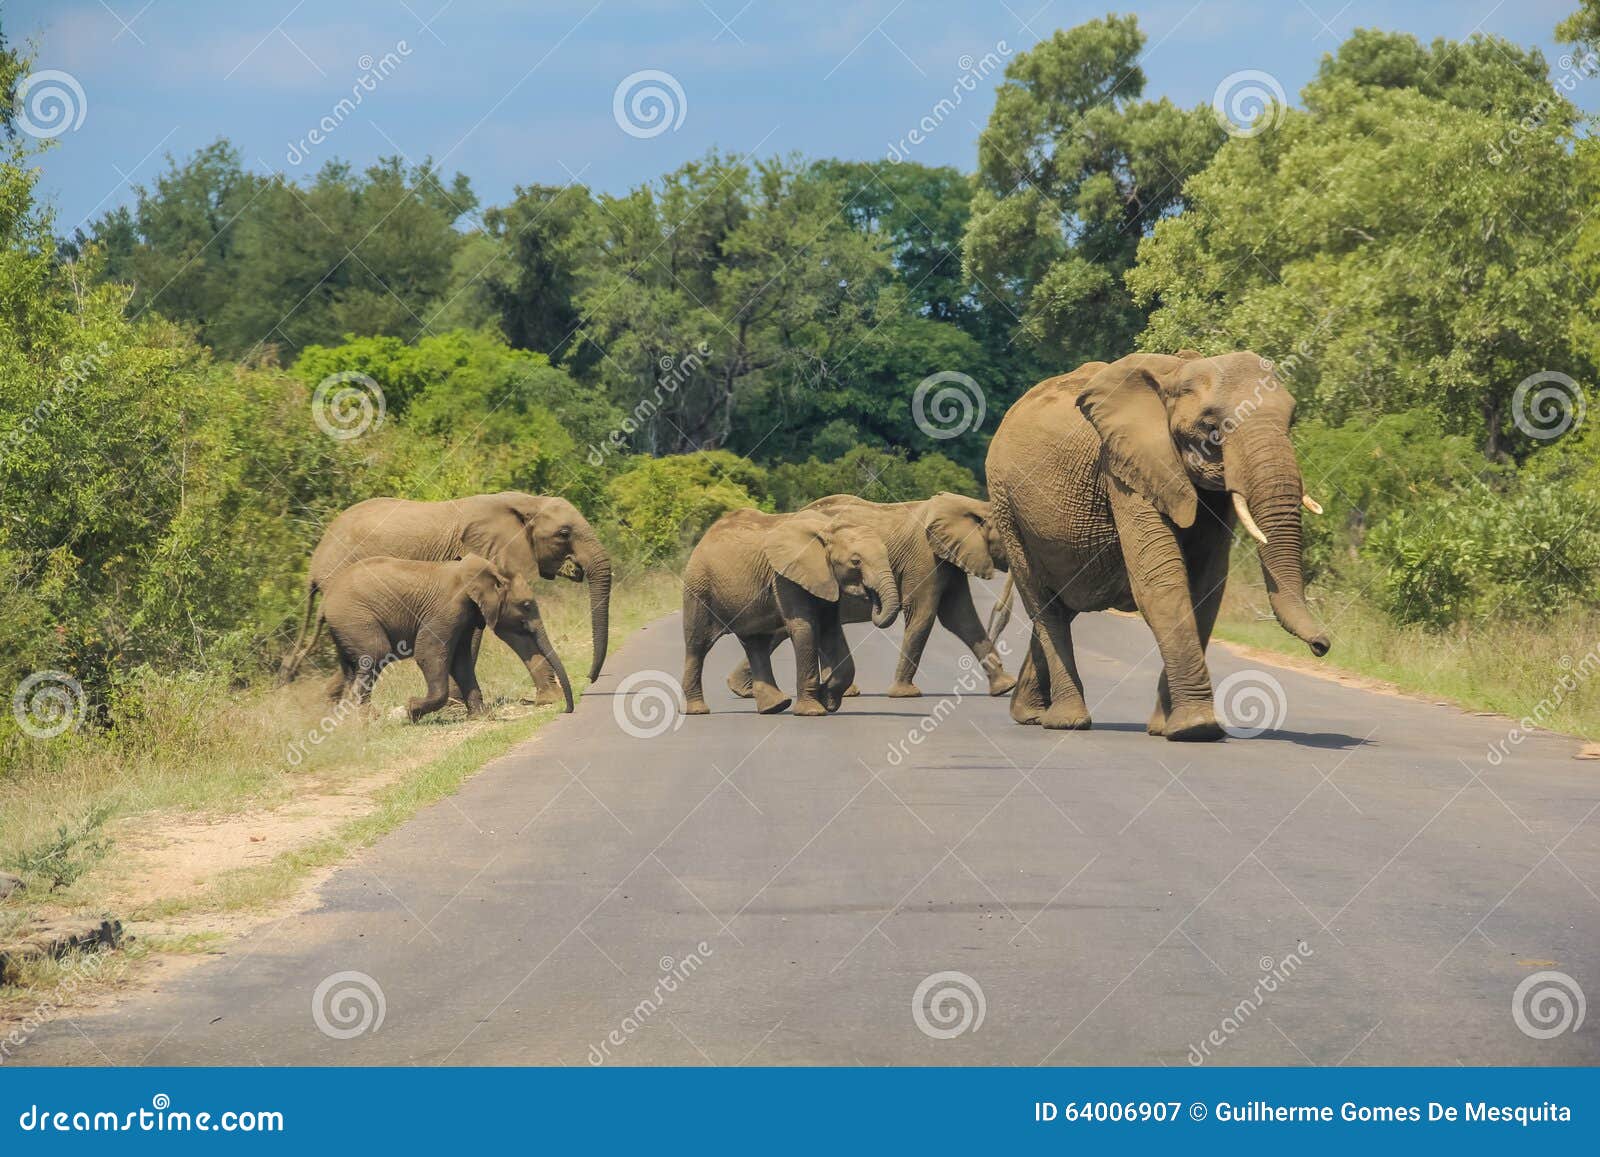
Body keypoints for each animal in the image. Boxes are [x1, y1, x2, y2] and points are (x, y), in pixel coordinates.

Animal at [319, 553, 573, 721]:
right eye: (527, 605)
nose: (567, 709)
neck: (489, 570)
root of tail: (326, 598)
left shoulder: (467, 616)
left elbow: (461, 660)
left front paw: (481, 716)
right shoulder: (446, 610)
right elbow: (428, 653)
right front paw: (410, 710)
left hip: (347, 626)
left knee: (351, 667)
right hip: (355, 617)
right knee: (375, 655)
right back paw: (366, 720)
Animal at [681, 509, 901, 716]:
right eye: (856, 561)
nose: (872, 597)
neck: (828, 528)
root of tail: (705, 536)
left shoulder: (824, 577)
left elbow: (831, 628)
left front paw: (828, 700)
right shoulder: (785, 576)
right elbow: (805, 627)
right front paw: (813, 711)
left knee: (756, 644)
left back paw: (775, 707)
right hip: (699, 586)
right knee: (698, 644)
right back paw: (697, 710)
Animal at [723, 492, 1015, 699]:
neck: (970, 505)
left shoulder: (948, 560)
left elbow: (961, 617)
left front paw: (1005, 687)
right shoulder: (924, 558)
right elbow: (923, 614)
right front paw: (904, 694)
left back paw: (743, 690)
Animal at [986, 350, 1330, 741]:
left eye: (1291, 421)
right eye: (1212, 429)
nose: (1322, 646)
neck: (1177, 373)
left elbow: (1207, 586)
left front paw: (1169, 727)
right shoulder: (1125, 468)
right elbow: (1160, 581)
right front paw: (1196, 728)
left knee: (1062, 601)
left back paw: (1028, 714)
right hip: (1006, 506)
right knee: (1043, 603)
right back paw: (1068, 721)